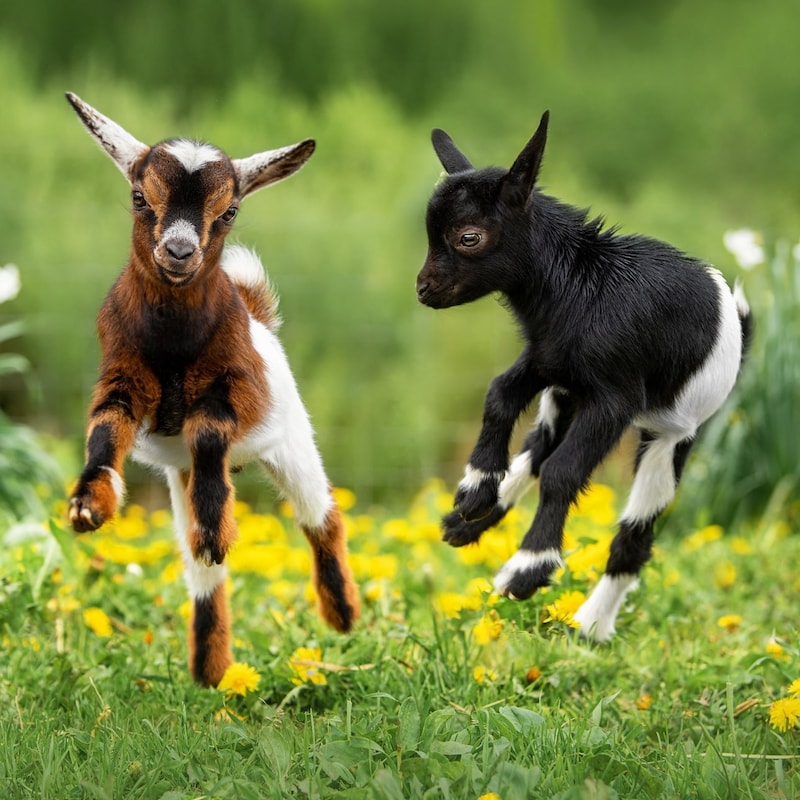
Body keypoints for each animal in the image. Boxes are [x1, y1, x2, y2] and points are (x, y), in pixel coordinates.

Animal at [65, 93, 360, 686]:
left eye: (229, 212)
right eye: (139, 197)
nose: (179, 252)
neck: (176, 340)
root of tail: (257, 313)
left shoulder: (237, 388)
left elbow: (207, 428)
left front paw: (218, 532)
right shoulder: (123, 376)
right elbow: (104, 430)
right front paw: (89, 506)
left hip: (293, 443)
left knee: (322, 517)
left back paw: (341, 614)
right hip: (177, 478)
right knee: (202, 575)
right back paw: (211, 669)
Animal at [416, 111, 752, 641]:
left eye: (469, 237)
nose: (424, 289)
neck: (582, 284)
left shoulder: (614, 399)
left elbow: (564, 472)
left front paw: (526, 572)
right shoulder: (547, 361)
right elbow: (498, 395)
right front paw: (474, 489)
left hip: (668, 436)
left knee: (632, 536)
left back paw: (591, 625)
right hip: (564, 398)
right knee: (535, 453)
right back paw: (467, 522)